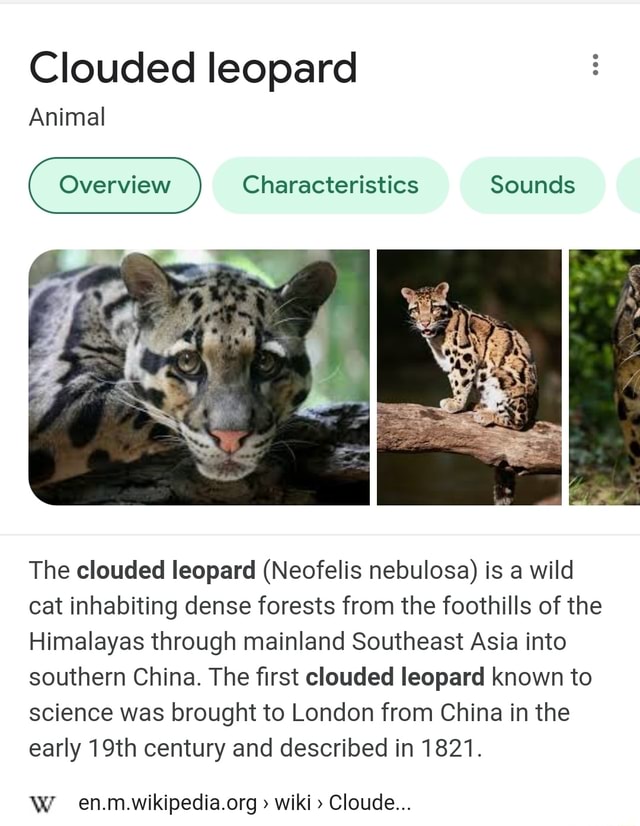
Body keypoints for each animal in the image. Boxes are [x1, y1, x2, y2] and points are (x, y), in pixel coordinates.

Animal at [29, 252, 336, 489]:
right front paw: (309, 427)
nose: (230, 439)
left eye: (265, 361)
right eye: (187, 361)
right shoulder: (51, 399)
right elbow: (137, 405)